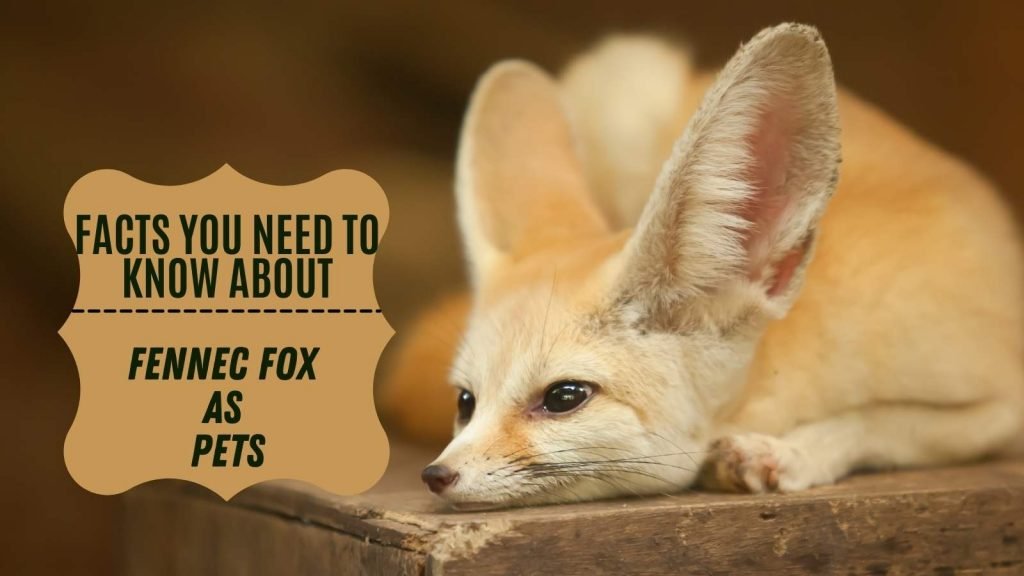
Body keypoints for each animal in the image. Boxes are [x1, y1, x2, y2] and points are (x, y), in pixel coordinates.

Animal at [381, 23, 1024, 508]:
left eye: (564, 397)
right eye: (466, 402)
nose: (435, 475)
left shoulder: (1002, 406)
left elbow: (882, 423)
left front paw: (790, 452)